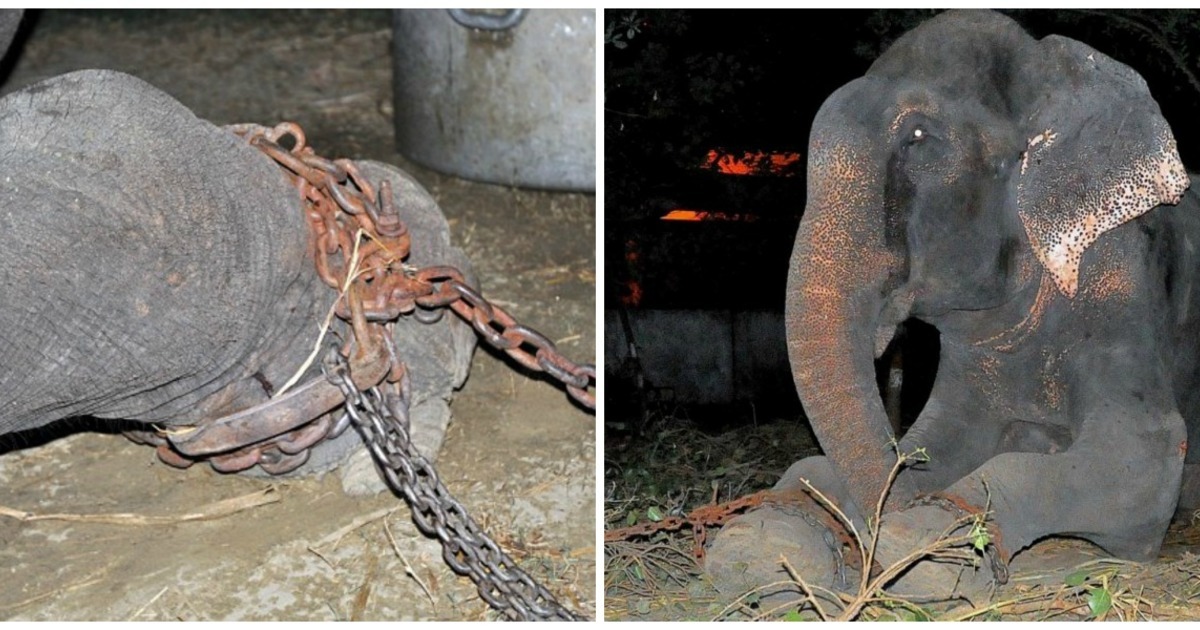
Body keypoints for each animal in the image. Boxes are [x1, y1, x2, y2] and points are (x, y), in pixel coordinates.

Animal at [706, 10, 1200, 602]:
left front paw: (928, 548)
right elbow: (933, 441)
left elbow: (1144, 452)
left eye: (919, 137)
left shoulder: (1121, 272)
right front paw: (764, 543)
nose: (867, 538)